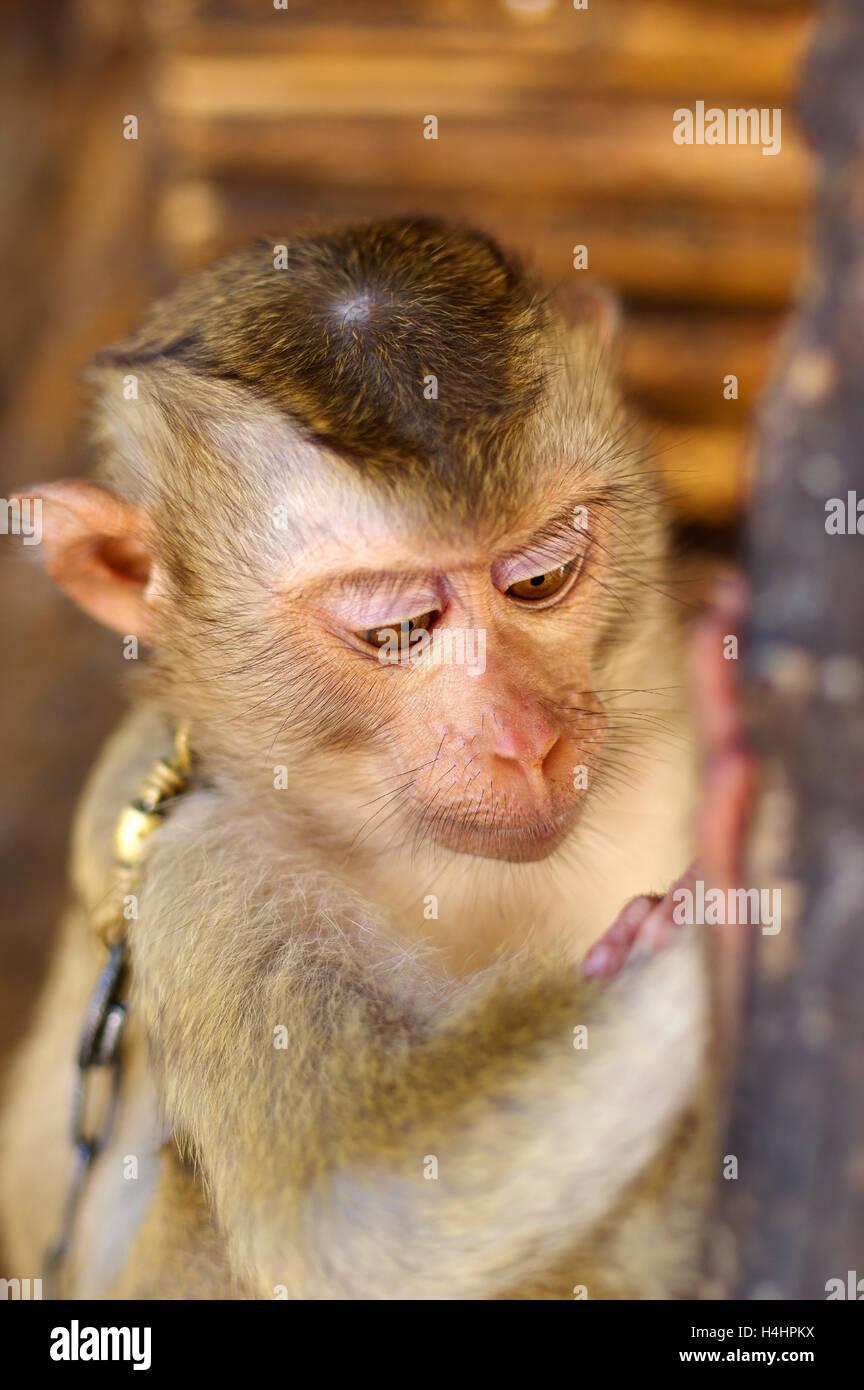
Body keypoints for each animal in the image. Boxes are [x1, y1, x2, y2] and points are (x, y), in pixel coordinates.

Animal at [0, 217, 727, 1300]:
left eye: (541, 577)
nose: (524, 740)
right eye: (396, 629)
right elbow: (364, 1200)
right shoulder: (207, 873)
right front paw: (709, 907)